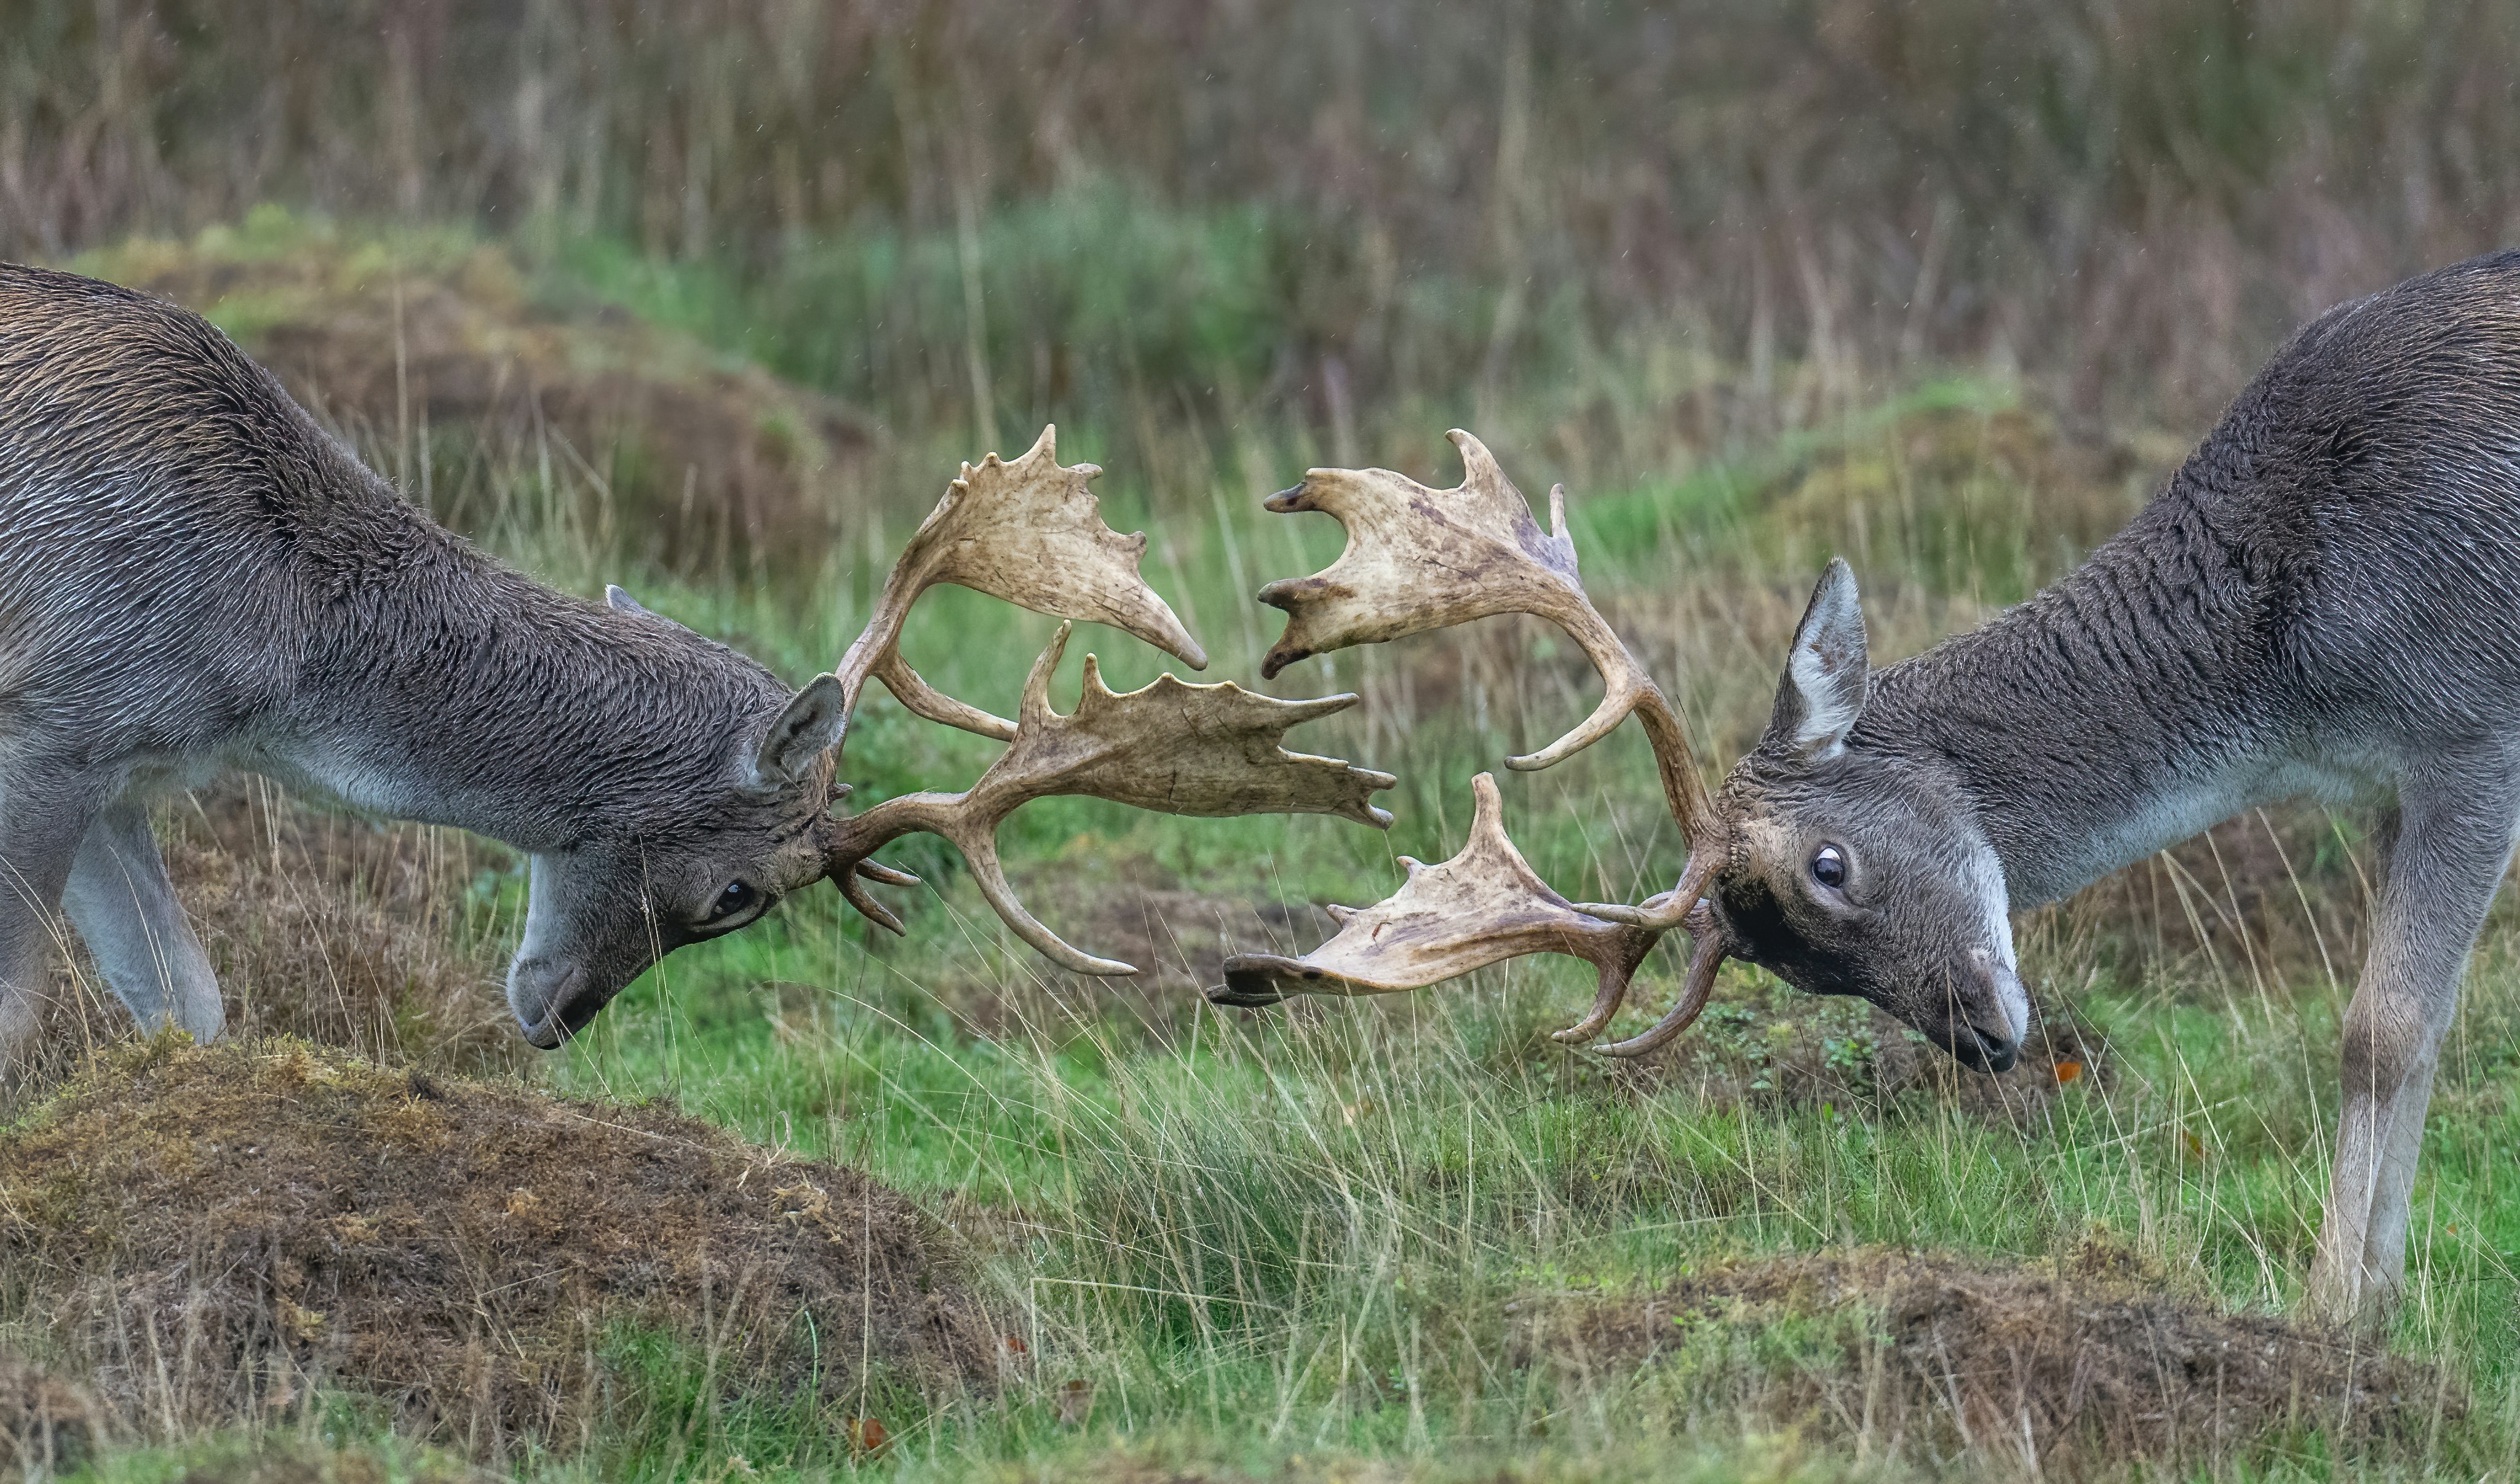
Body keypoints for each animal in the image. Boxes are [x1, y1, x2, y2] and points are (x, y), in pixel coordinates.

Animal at [0, 262, 1395, 1082]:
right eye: (741, 894)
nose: (558, 1021)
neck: (278, 654)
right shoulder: (57, 722)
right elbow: (25, 1011)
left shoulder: (125, 769)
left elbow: (188, 1002)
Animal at [1212, 250, 2520, 1326]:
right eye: (1783, 966)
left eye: (1827, 863)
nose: (1986, 1038)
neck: (2290, 680)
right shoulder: (2386, 785)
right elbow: (2420, 1025)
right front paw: (2376, 1295)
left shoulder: (2468, 725)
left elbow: (2379, 1030)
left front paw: (2335, 1310)